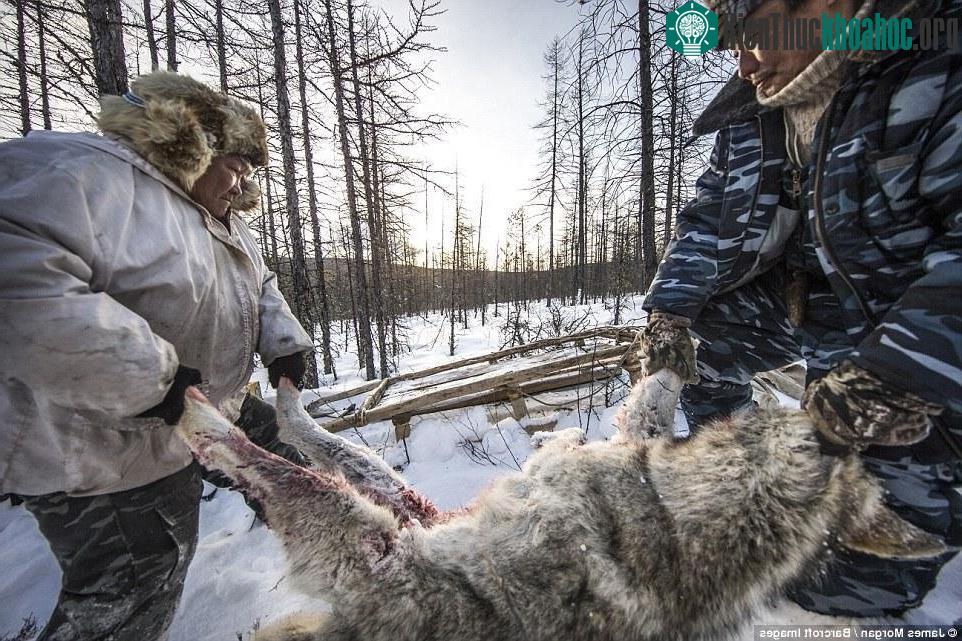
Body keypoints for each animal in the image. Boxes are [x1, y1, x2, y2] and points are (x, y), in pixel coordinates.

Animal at [174, 370, 944, 640]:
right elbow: (655, 396)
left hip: (371, 537)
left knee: (291, 464)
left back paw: (212, 411)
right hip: (413, 521)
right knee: (341, 458)